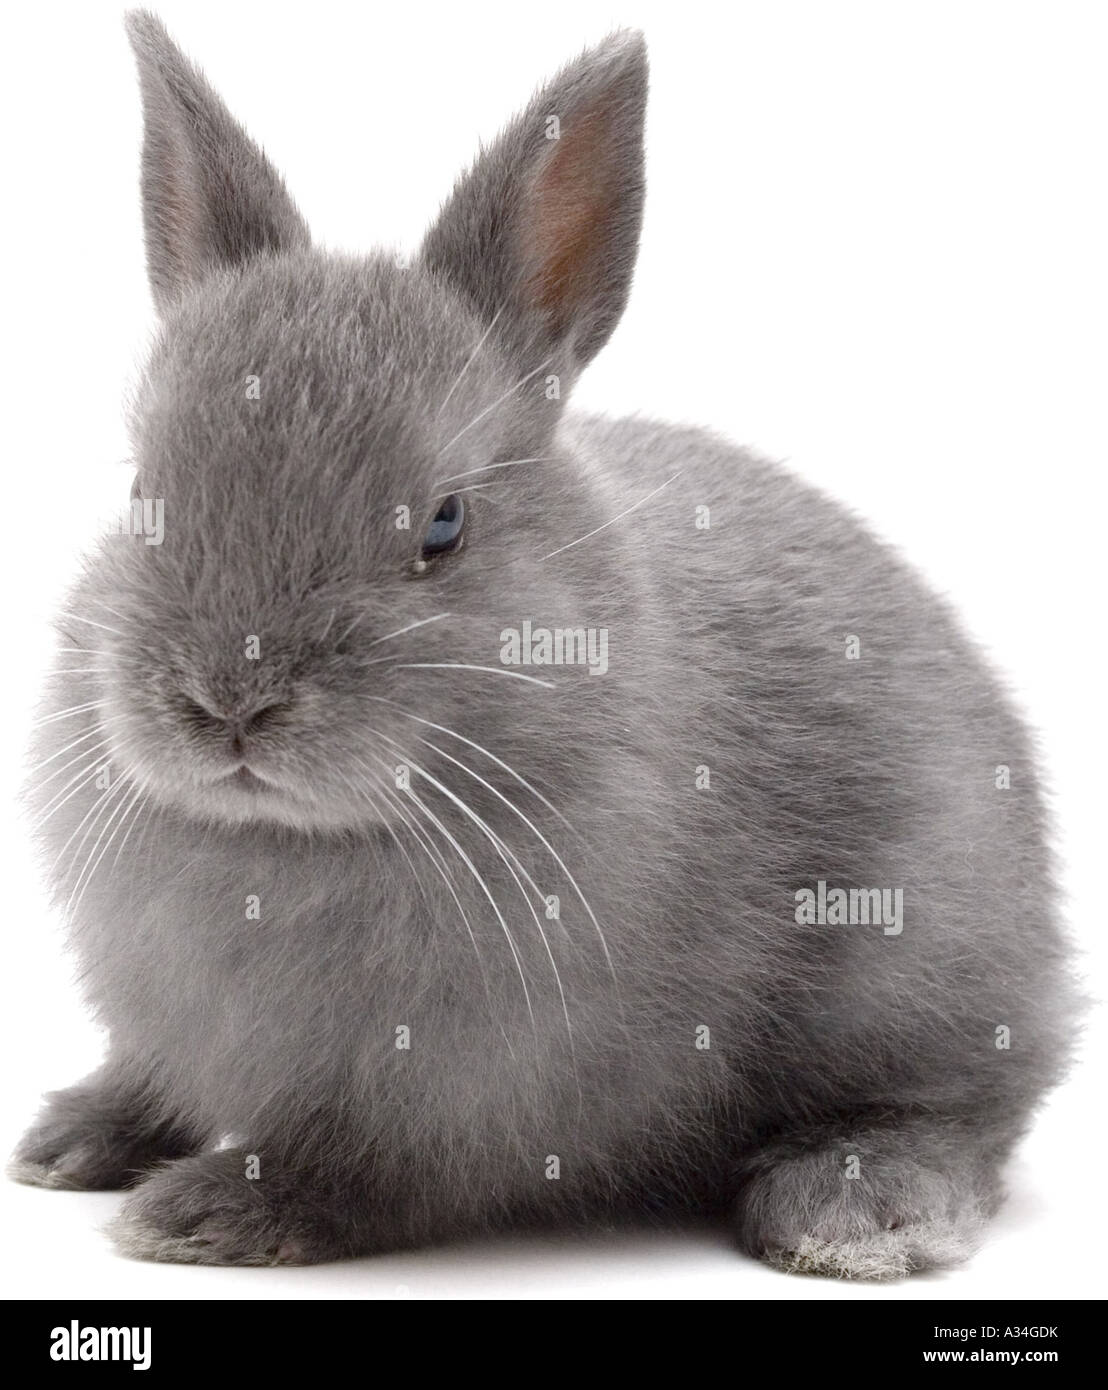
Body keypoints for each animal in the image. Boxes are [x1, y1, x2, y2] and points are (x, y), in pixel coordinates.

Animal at [10, 9, 1076, 1279]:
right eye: (142, 496)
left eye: (443, 524)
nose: (229, 704)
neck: (294, 844)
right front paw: (76, 1142)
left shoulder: (473, 1105)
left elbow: (362, 1174)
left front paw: (203, 1213)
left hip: (925, 964)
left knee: (967, 1101)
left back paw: (852, 1211)